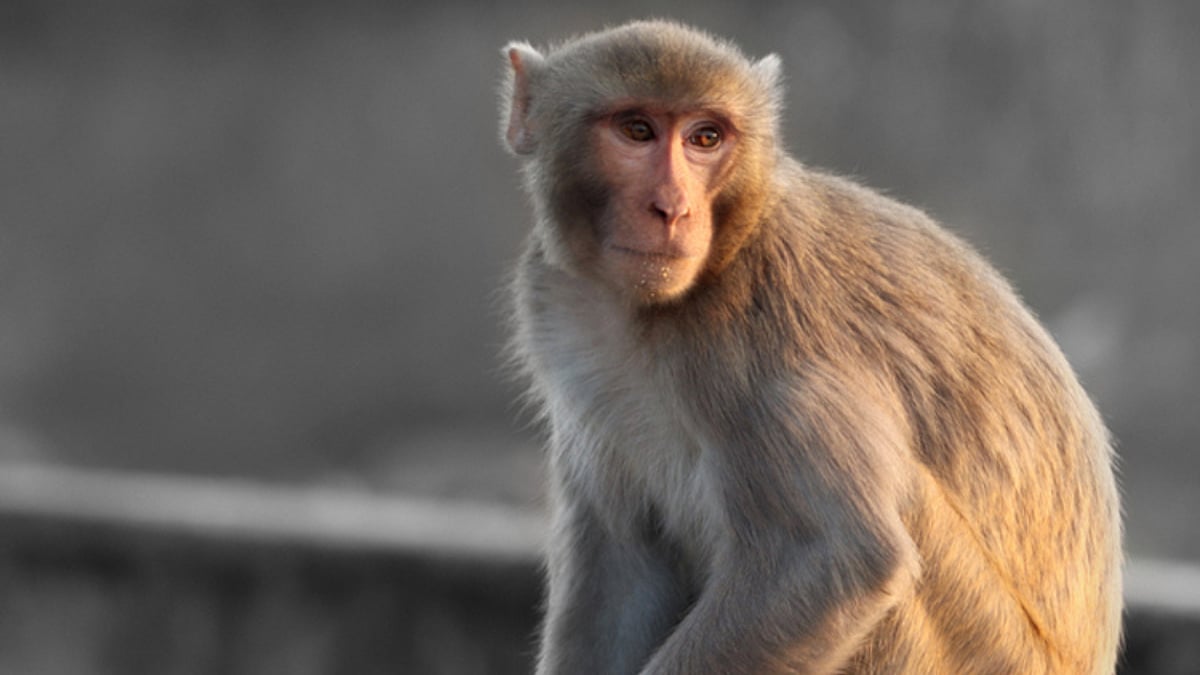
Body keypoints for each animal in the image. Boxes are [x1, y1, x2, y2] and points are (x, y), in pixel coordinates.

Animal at [498, 20, 1121, 675]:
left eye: (705, 137)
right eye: (637, 130)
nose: (673, 209)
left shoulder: (755, 339)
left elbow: (834, 559)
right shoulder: (555, 312)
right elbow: (621, 561)